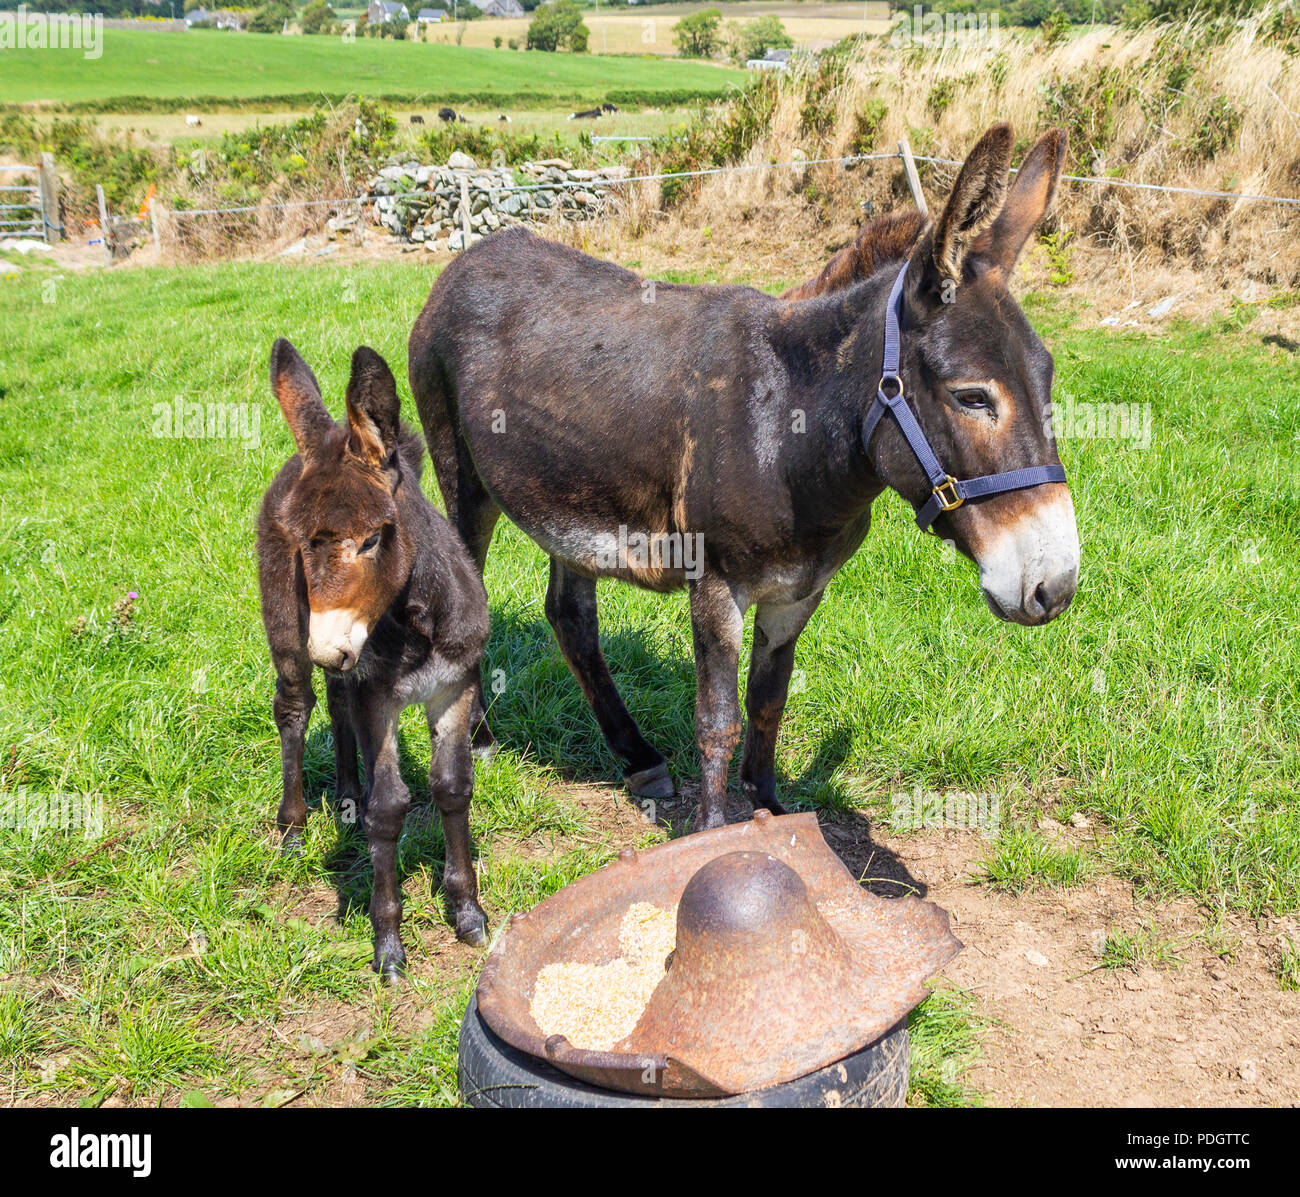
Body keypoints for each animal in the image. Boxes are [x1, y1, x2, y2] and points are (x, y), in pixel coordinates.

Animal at [257, 340, 490, 978]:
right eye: (302, 541)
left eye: (370, 539)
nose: (329, 647)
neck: (416, 620)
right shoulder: (378, 697)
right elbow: (390, 809)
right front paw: (388, 943)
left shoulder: (455, 686)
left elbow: (452, 786)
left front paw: (467, 912)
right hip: (287, 633)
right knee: (296, 707)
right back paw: (294, 827)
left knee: (336, 701)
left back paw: (345, 794)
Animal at [407, 123, 1079, 832]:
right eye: (973, 397)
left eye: (1048, 381)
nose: (1057, 588)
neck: (787, 425)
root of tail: (477, 252)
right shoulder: (716, 587)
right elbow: (717, 721)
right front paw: (710, 834)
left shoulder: (799, 592)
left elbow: (767, 702)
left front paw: (770, 811)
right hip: (464, 478)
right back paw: (479, 738)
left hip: (569, 496)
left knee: (570, 616)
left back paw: (637, 757)